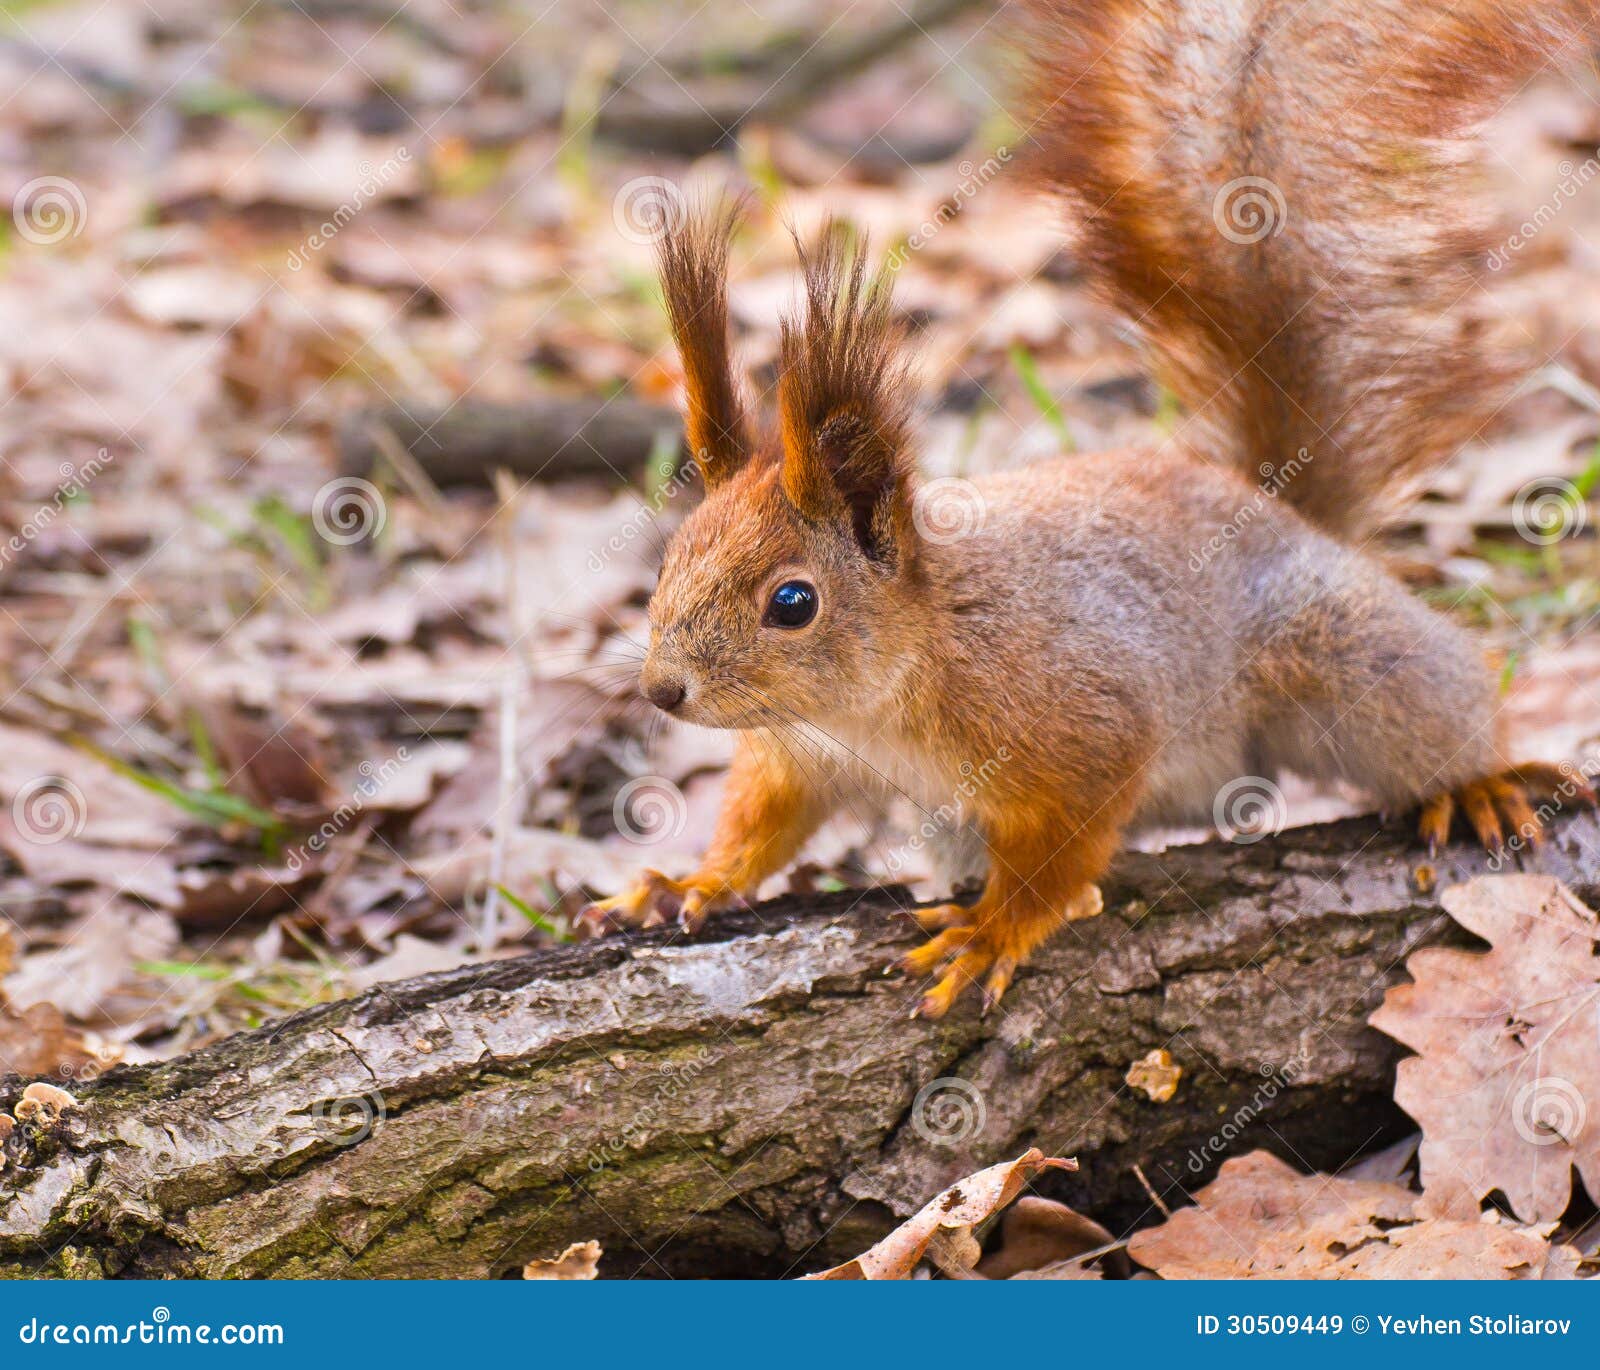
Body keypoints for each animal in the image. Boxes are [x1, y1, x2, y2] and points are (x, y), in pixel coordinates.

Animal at [584, 0, 1600, 1017]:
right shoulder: (803, 751)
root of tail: (1276, 505)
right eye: (669, 559)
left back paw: (1479, 784)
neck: (889, 689)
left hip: (1345, 656)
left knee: (1430, 702)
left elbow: (1063, 845)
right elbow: (765, 819)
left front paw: (993, 930)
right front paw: (691, 881)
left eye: (792, 603)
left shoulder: (1078, 722)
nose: (662, 690)